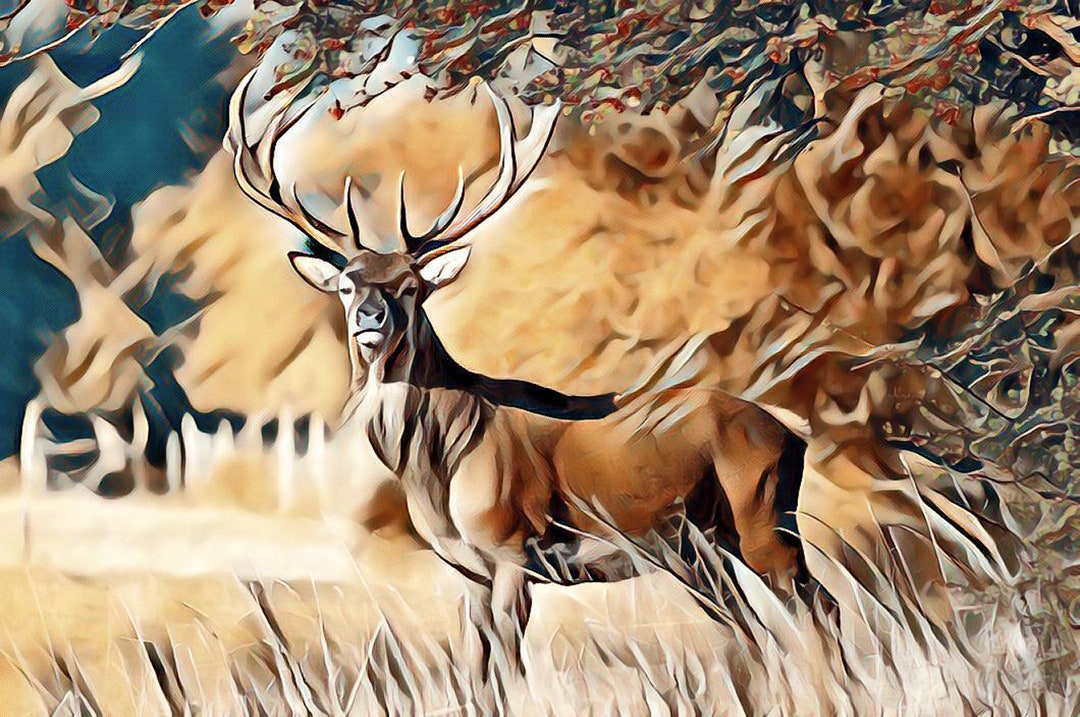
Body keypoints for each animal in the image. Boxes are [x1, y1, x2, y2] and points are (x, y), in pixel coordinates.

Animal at [226, 70, 806, 671]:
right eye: (346, 284)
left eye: (411, 285)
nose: (370, 316)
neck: (436, 469)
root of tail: (792, 430)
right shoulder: (466, 571)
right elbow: (474, 664)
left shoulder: (512, 548)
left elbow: (508, 663)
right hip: (701, 547)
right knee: (757, 626)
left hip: (761, 516)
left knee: (809, 607)